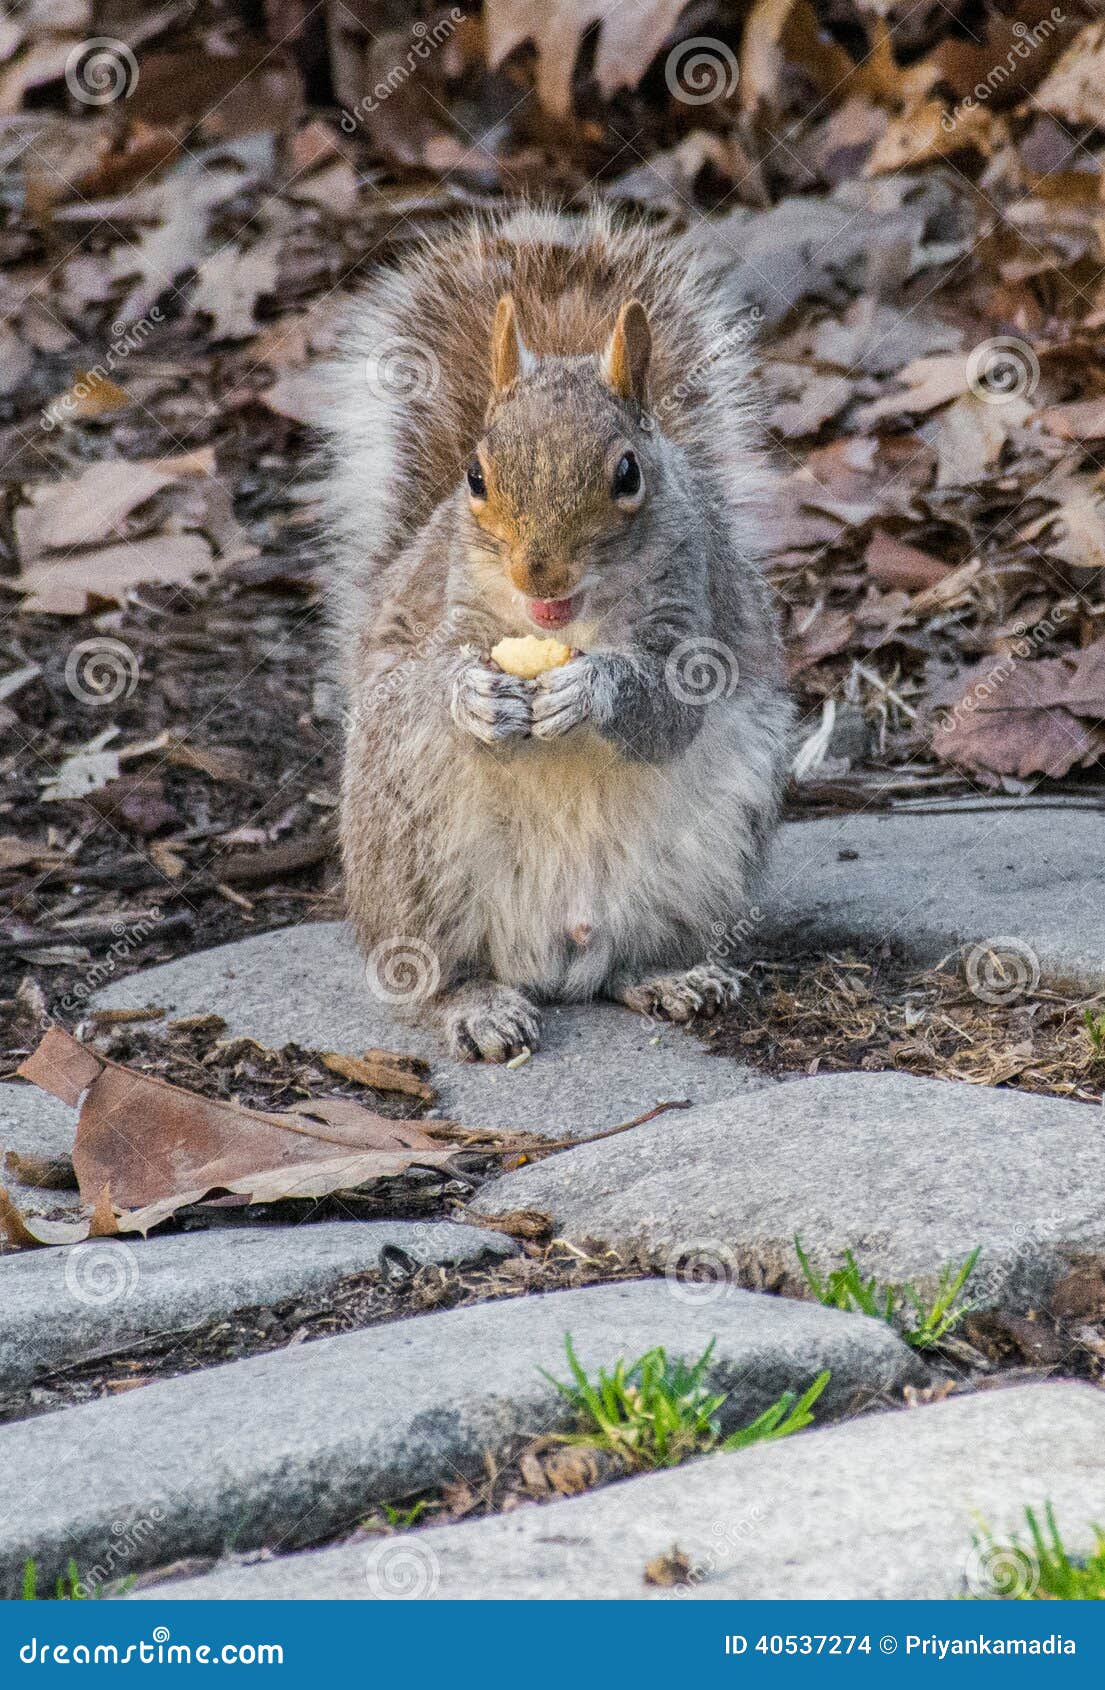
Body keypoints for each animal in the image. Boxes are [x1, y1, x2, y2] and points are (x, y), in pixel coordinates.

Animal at [323, 204, 792, 1063]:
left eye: (628, 473)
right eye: (474, 475)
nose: (536, 574)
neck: (571, 619)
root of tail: (550, 952)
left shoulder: (696, 612)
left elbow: (670, 709)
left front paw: (591, 687)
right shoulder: (446, 609)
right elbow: (422, 676)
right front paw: (471, 697)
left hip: (702, 866)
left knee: (624, 965)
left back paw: (669, 977)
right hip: (409, 860)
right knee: (431, 973)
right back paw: (476, 1006)